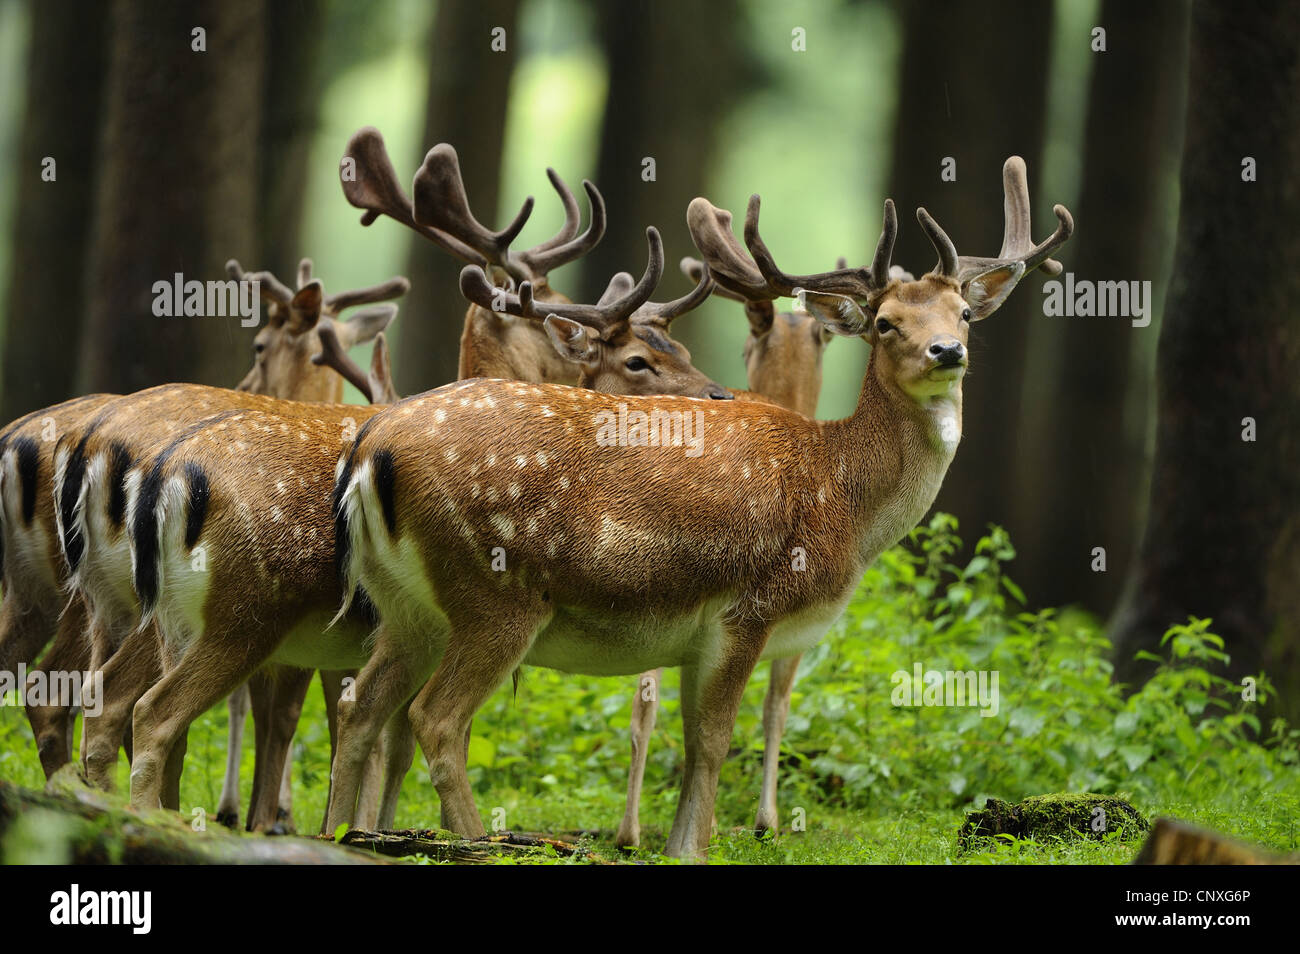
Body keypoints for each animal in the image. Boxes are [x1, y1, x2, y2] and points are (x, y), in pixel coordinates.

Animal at [44, 259, 404, 829]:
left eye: (258, 346)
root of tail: (86, 443)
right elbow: (304, 718)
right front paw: (310, 822)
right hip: (203, 613)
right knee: (129, 707)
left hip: (111, 603)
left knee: (96, 696)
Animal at [319, 157, 1071, 858]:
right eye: (886, 323)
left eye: (964, 313)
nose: (948, 351)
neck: (844, 501)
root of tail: (370, 449)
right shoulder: (750, 607)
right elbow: (713, 741)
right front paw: (694, 843)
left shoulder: (689, 638)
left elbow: (689, 741)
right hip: (496, 594)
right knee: (435, 718)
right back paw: (479, 841)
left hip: (406, 606)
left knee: (359, 708)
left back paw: (343, 834)